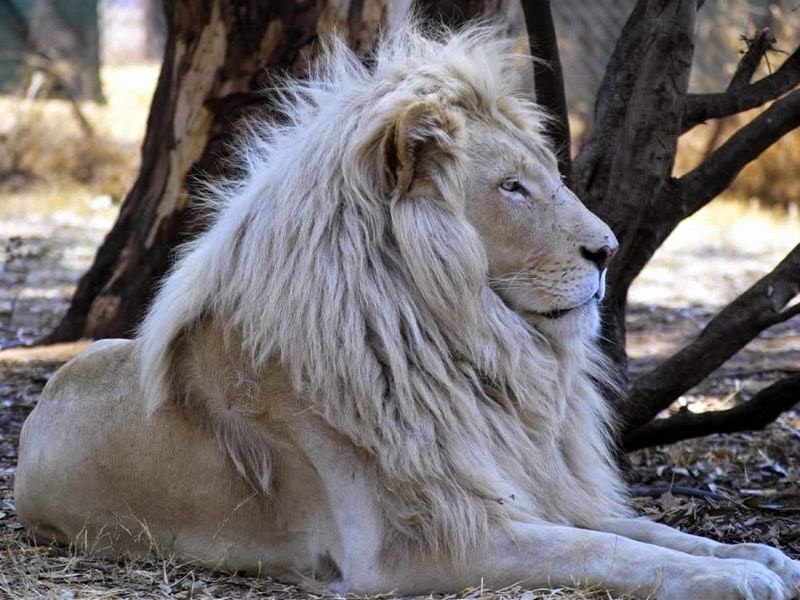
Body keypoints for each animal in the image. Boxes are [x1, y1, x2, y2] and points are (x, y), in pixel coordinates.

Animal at [15, 23, 800, 599]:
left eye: (547, 178)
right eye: (513, 187)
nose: (607, 251)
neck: (472, 351)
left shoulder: (531, 490)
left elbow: (646, 533)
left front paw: (760, 555)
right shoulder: (418, 544)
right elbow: (604, 550)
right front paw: (735, 577)